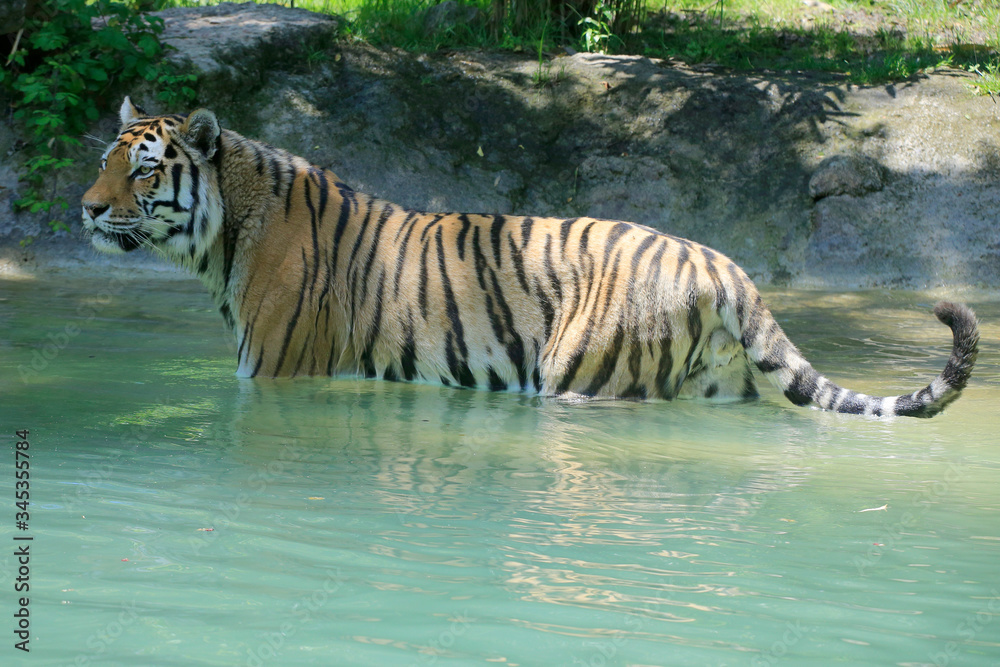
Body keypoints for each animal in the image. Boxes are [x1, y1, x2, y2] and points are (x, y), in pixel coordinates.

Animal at [80, 97, 979, 417]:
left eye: (145, 168)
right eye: (105, 159)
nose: (85, 207)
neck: (227, 229)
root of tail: (722, 262)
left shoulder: (275, 374)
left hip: (584, 373)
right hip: (717, 385)